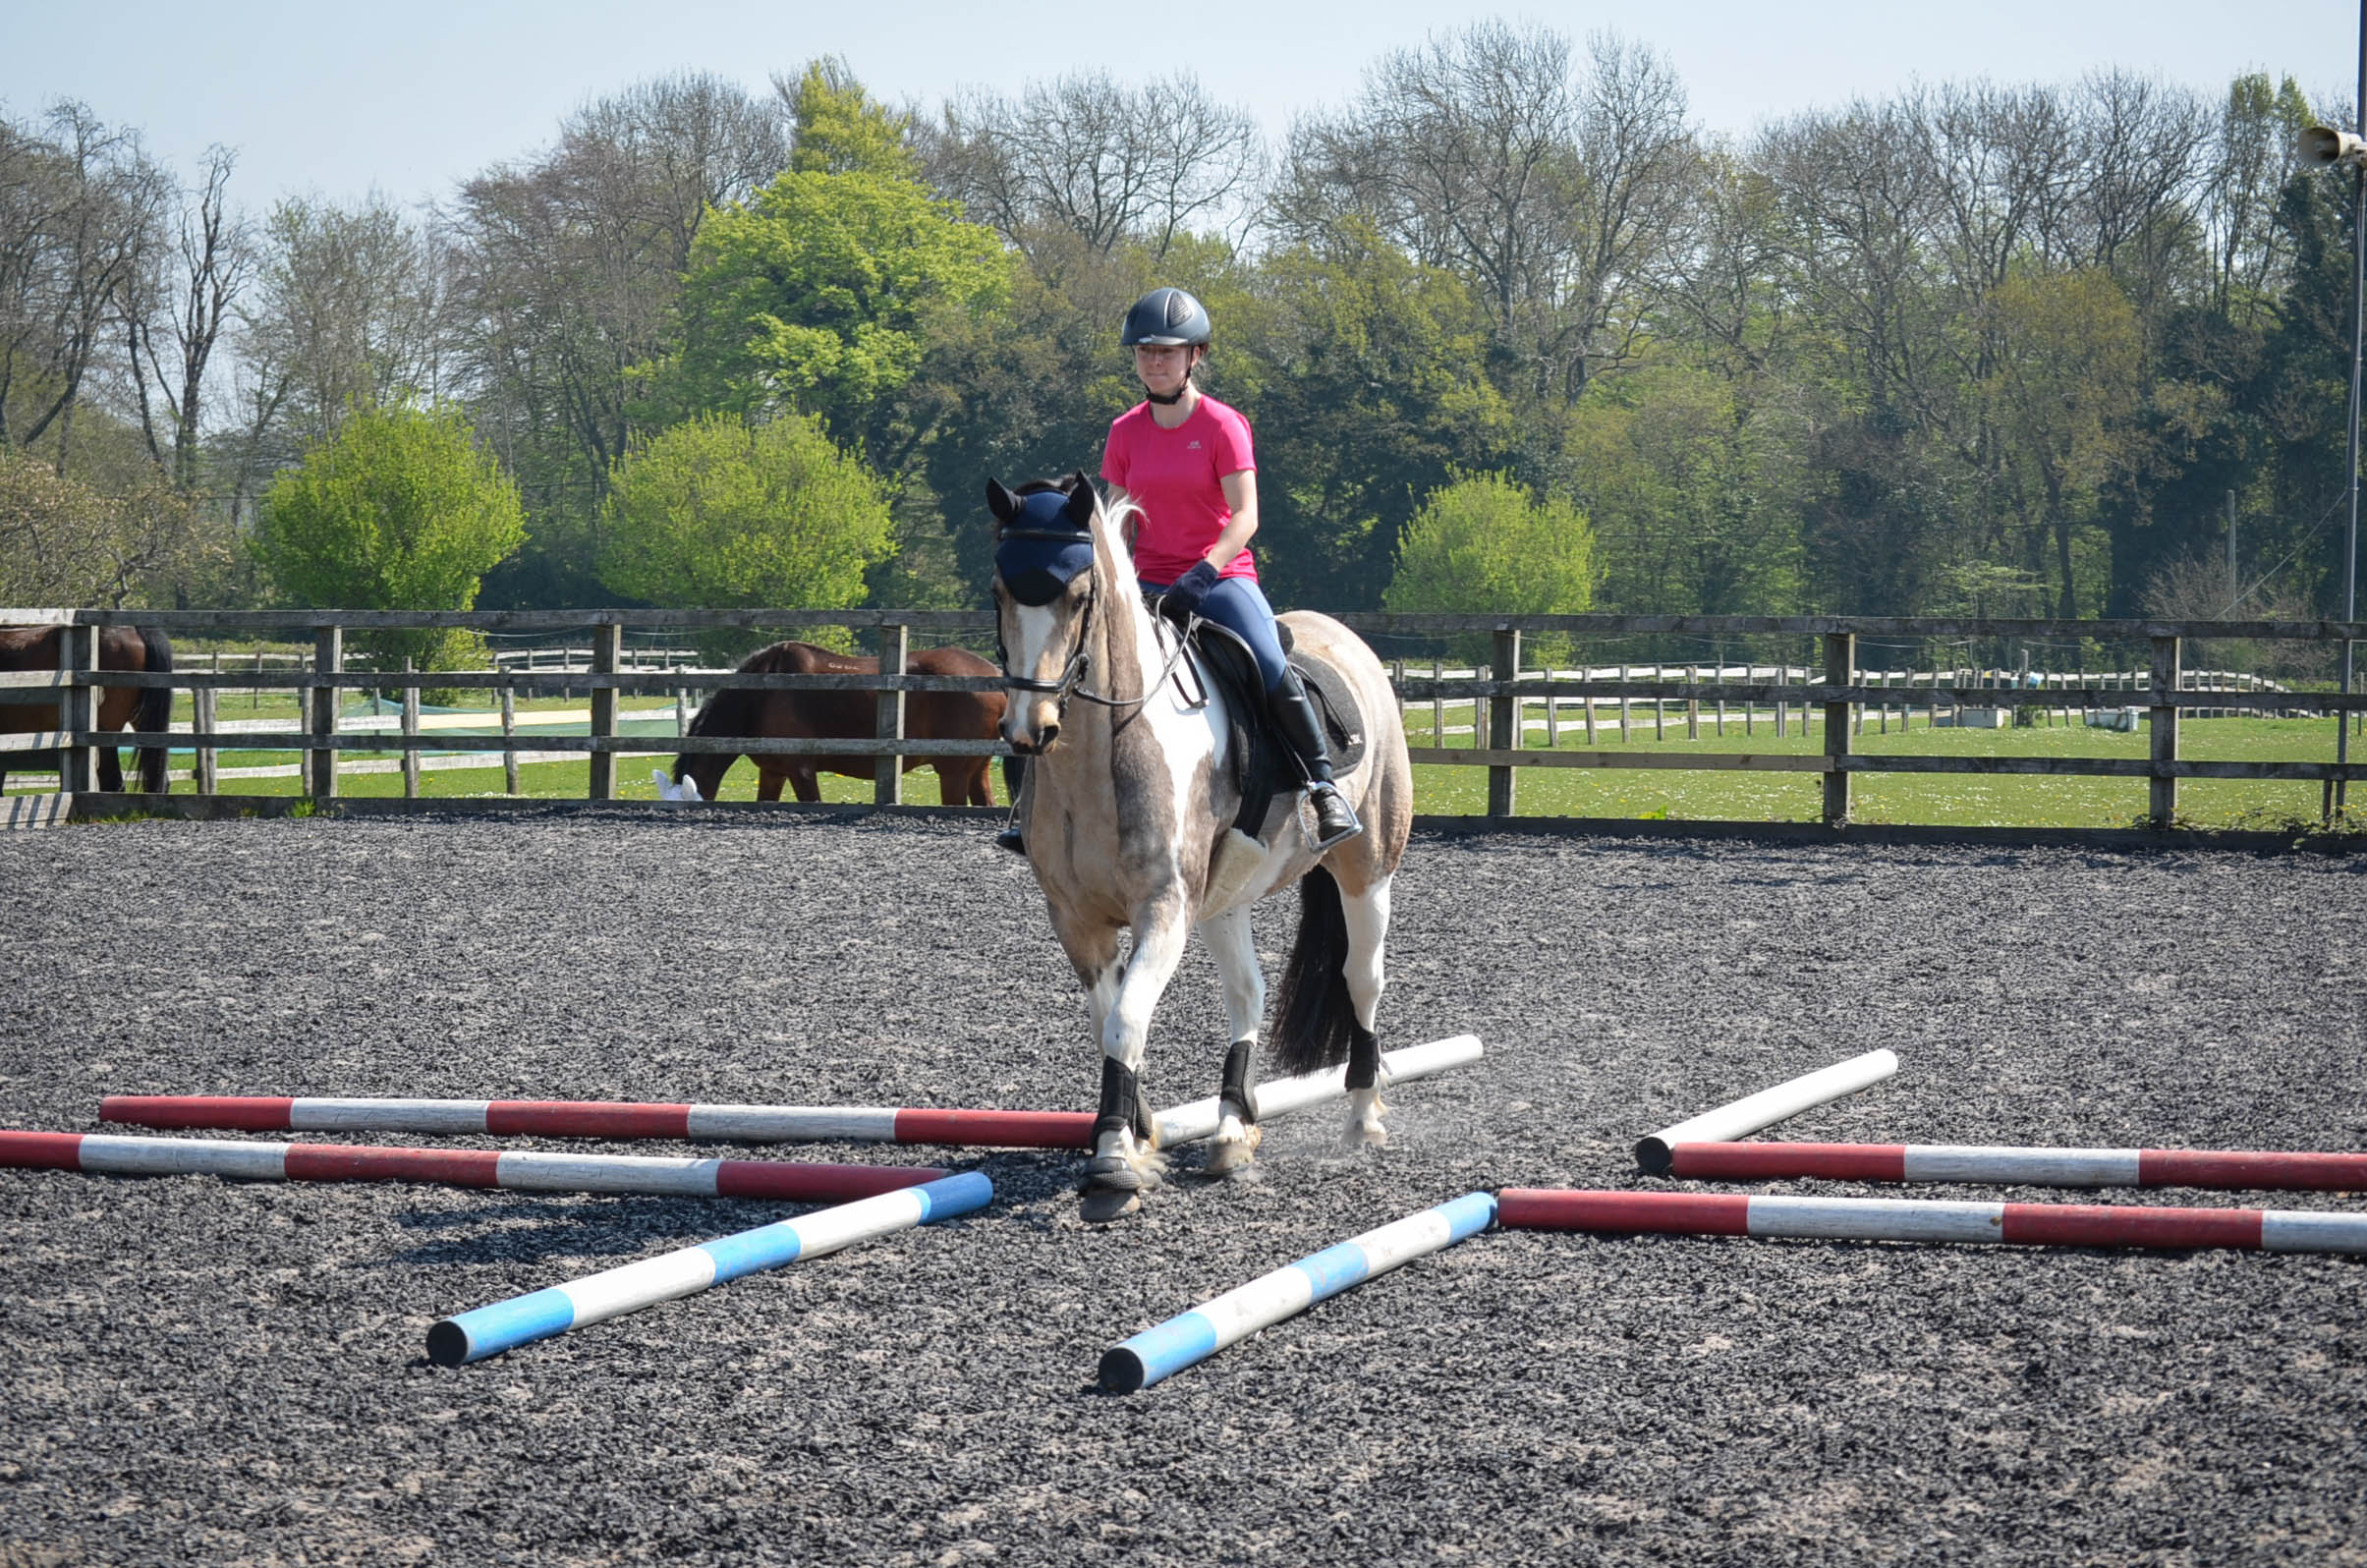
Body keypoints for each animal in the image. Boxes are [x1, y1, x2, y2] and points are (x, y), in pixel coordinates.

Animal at [670, 640, 1013, 806]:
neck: (762, 692)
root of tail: (994, 674)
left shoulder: (801, 771)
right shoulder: (772, 773)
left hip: (953, 773)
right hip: (976, 771)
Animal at [986, 472, 1414, 1222]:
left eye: (1079, 596)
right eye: (997, 592)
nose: (1029, 728)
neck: (1100, 758)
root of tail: (1347, 640)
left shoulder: (1164, 909)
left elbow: (1126, 1020)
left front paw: (1112, 1164)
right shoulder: (1075, 919)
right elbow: (1107, 1020)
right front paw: (1139, 1134)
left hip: (1366, 871)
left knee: (1361, 979)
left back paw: (1363, 1118)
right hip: (1225, 898)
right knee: (1248, 994)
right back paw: (1232, 1130)